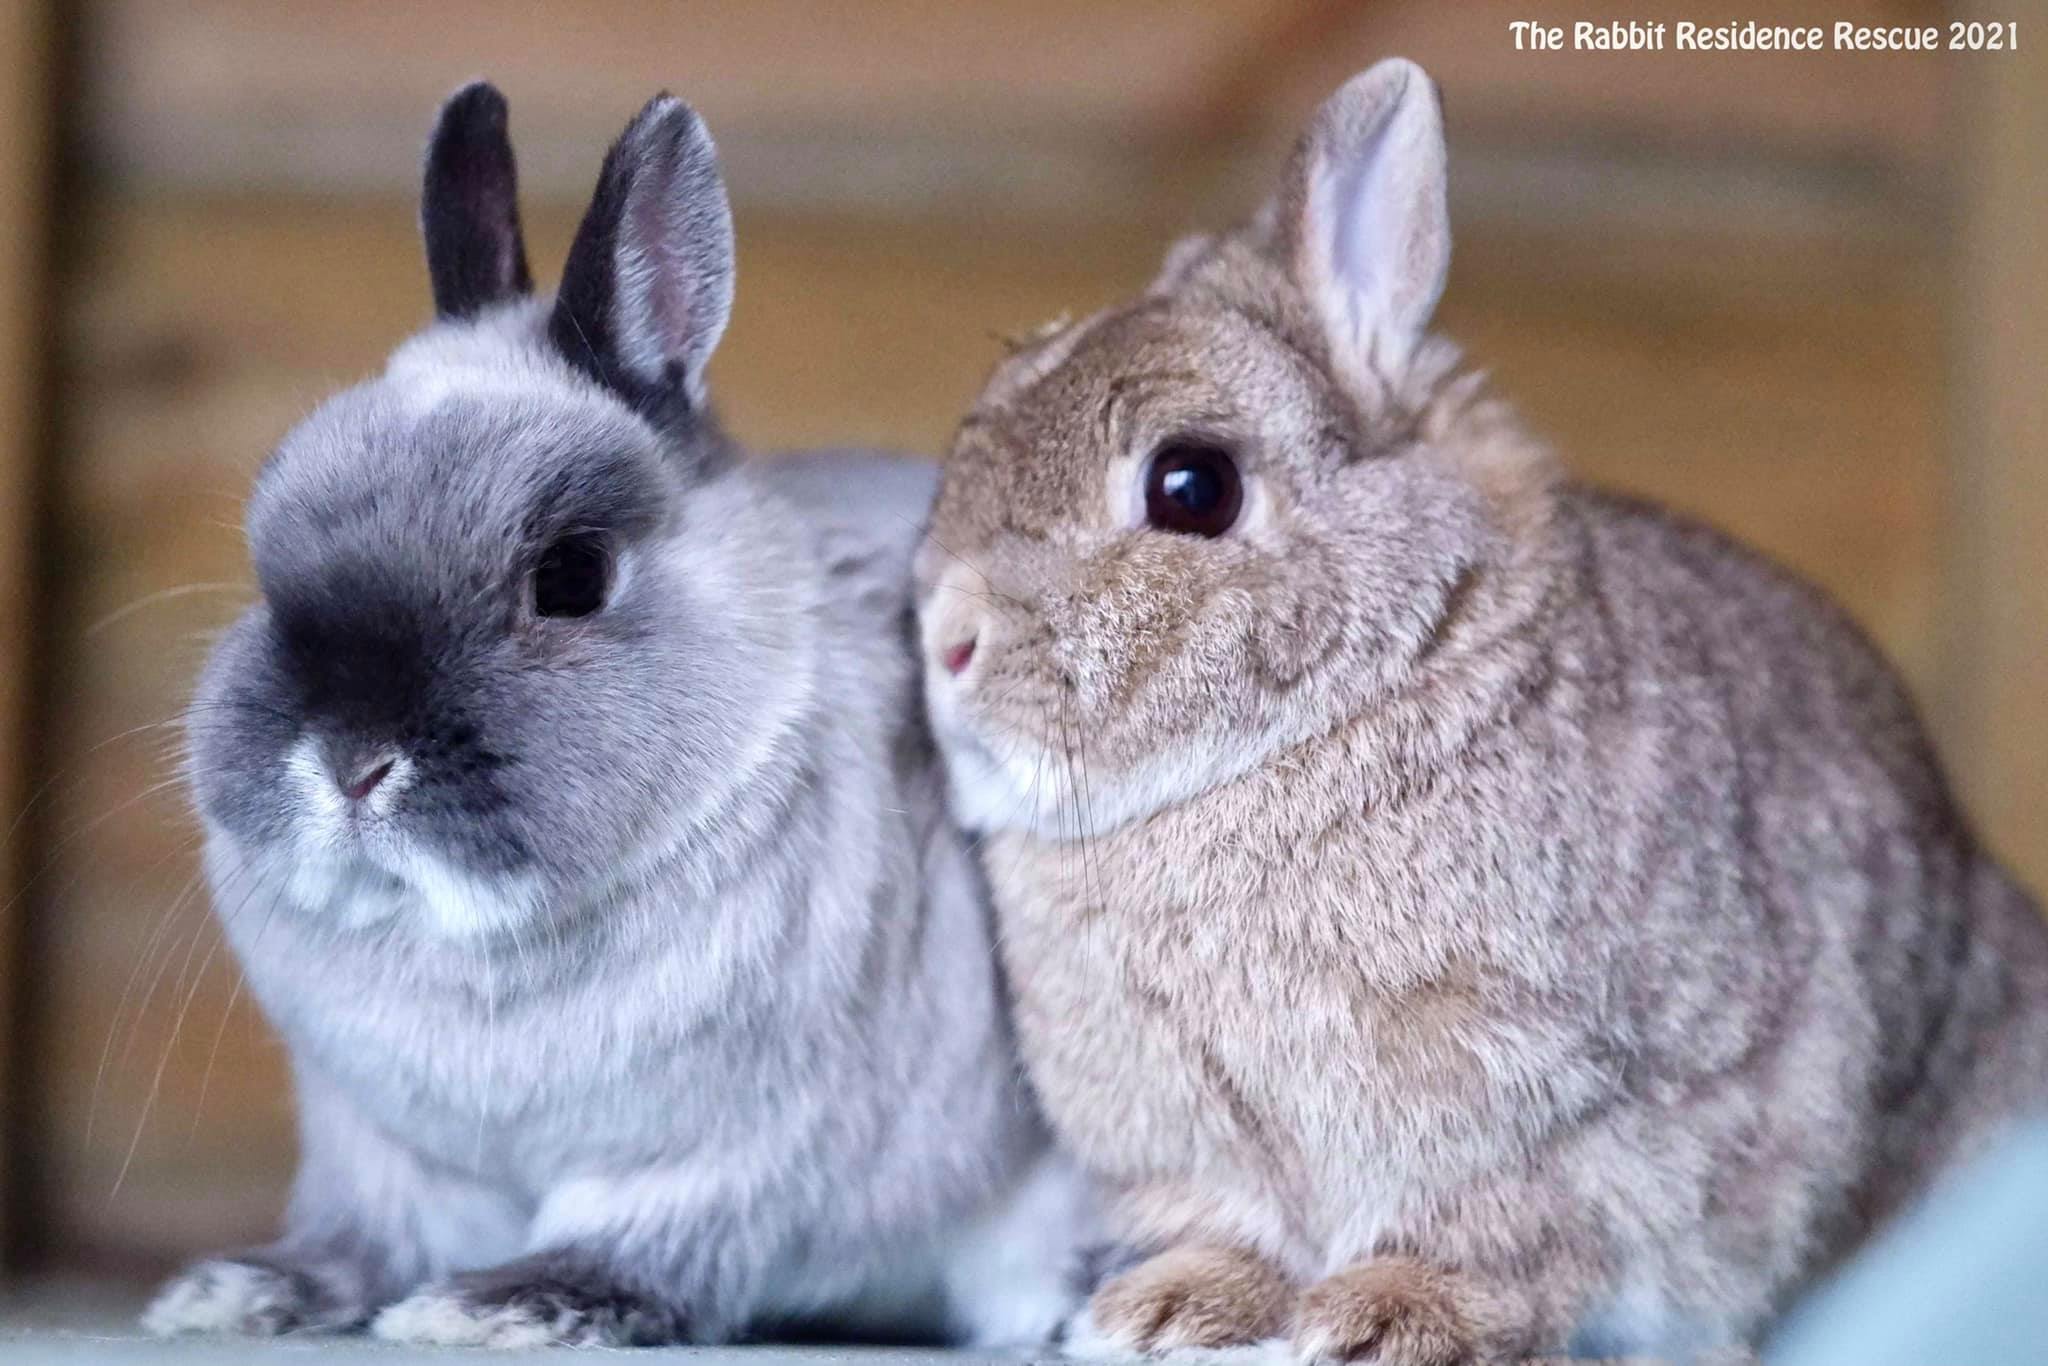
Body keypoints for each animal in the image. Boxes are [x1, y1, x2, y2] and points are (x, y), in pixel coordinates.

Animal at [139, 82, 1096, 1350]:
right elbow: (364, 1238)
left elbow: (643, 1242)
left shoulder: (727, 1153)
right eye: (265, 541)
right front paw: (245, 1290)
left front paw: (499, 1309)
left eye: (572, 576)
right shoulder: (382, 1153)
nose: (350, 762)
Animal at [913, 56, 2048, 1365]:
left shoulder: (1542, 1110)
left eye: (1191, 485)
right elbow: (1229, 1231)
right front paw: (1164, 1311)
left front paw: (1381, 1322)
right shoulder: (1192, 1145)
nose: (946, 642)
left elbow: (1491, 1236)